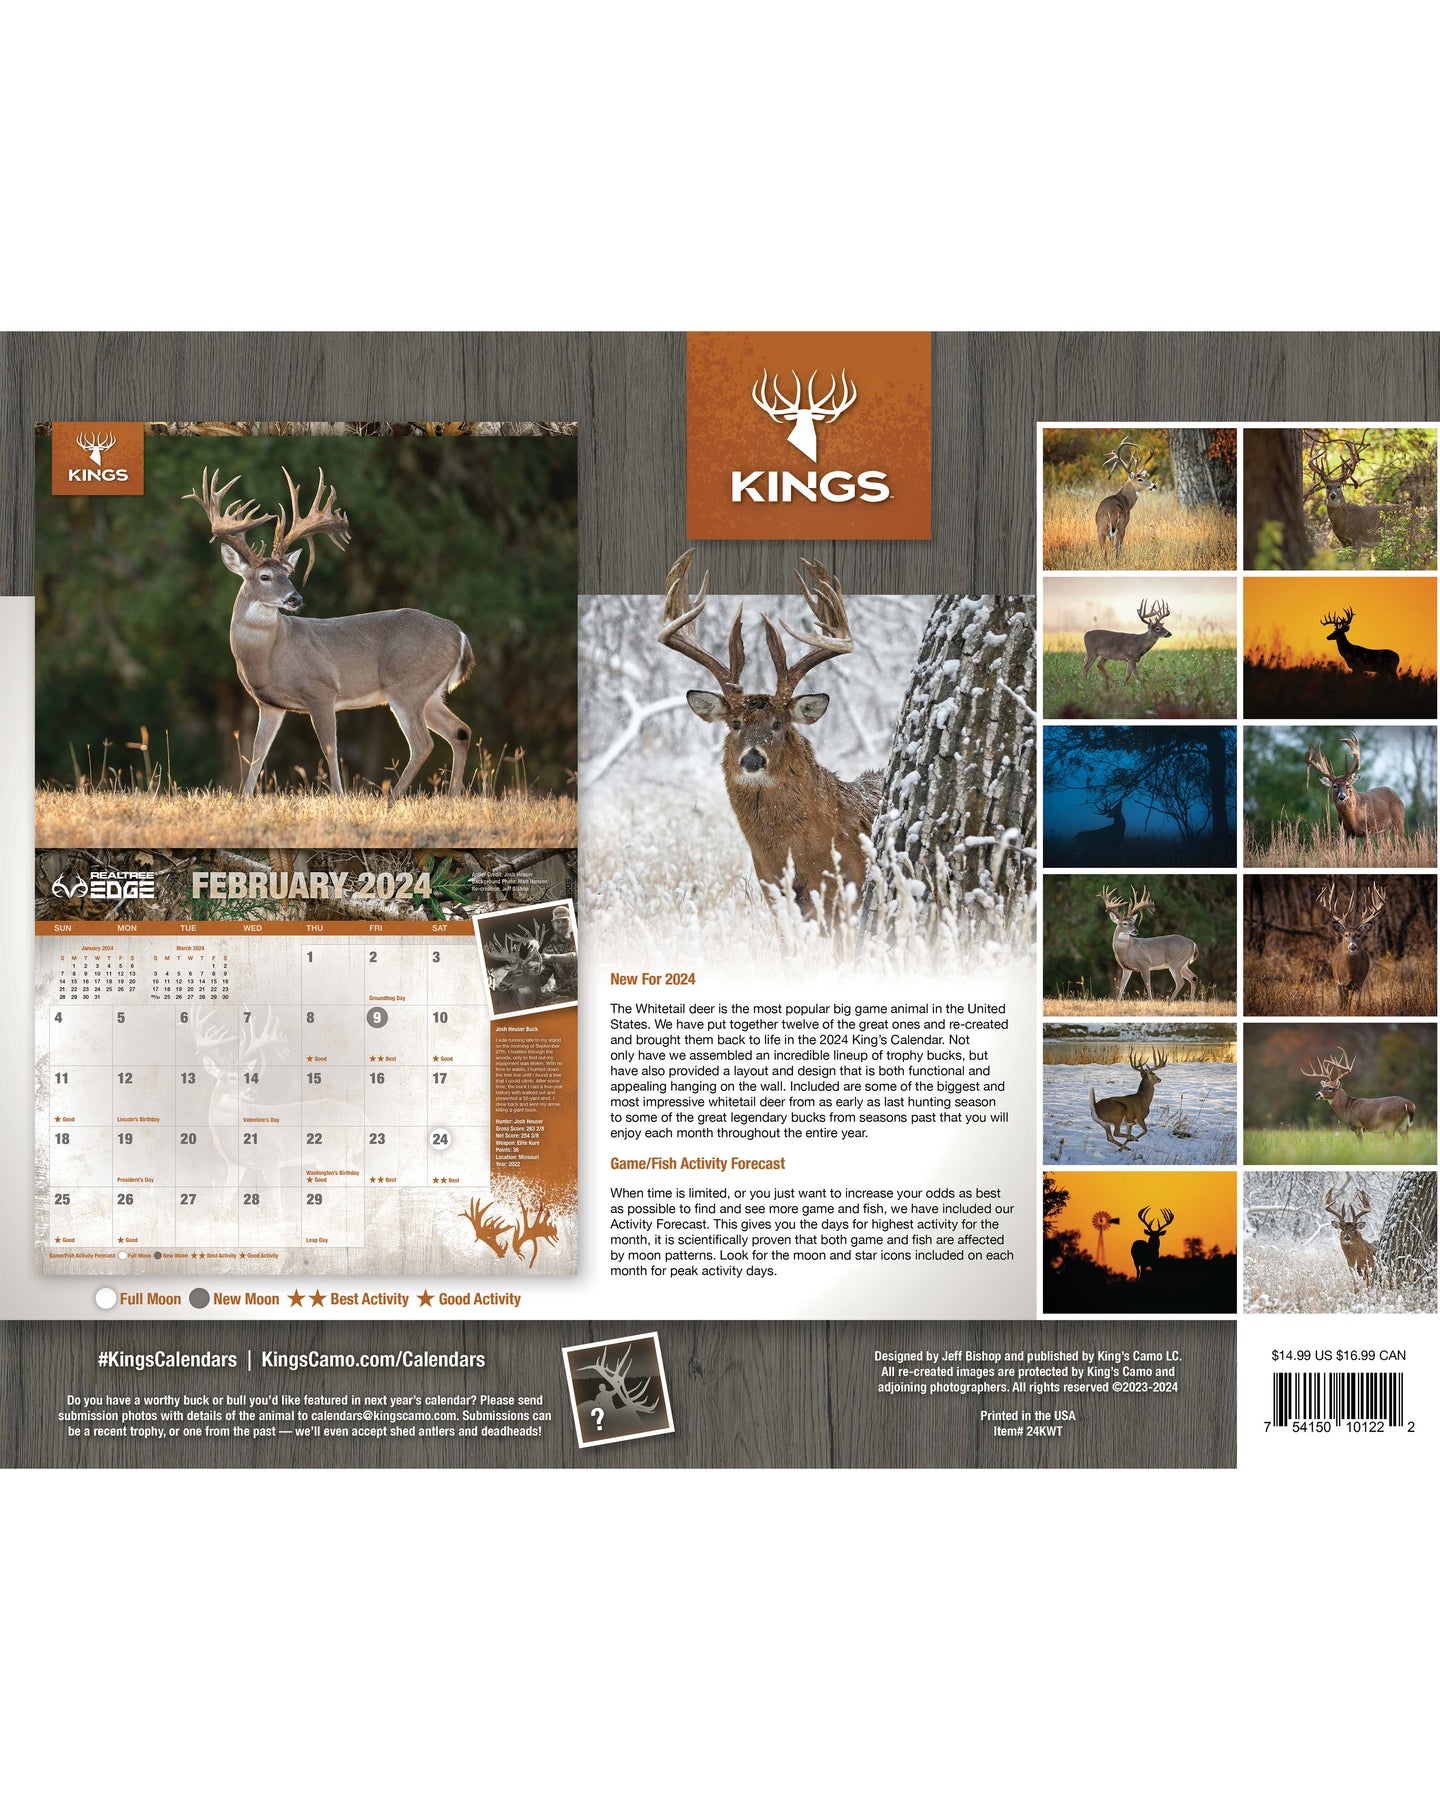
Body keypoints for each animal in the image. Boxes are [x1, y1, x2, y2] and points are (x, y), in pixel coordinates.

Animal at [186, 467, 475, 800]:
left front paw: (339, 795)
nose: (295, 598)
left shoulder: (321, 689)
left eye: (290, 573)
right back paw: (451, 797)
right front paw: (244, 798)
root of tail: (461, 636)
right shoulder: (269, 703)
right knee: (460, 731)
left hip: (407, 685)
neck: (270, 655)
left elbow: (329, 748)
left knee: (422, 743)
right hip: (430, 692)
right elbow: (258, 752)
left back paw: (392, 799)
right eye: (265, 576)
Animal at [1316, 880, 1386, 1012]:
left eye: (1358, 935)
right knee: (1342, 1000)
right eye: (1346, 935)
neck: (1350, 974)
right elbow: (1343, 1002)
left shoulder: (1360, 983)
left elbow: (1357, 1003)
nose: (1352, 946)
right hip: (1335, 979)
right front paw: (1343, 1011)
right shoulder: (1341, 983)